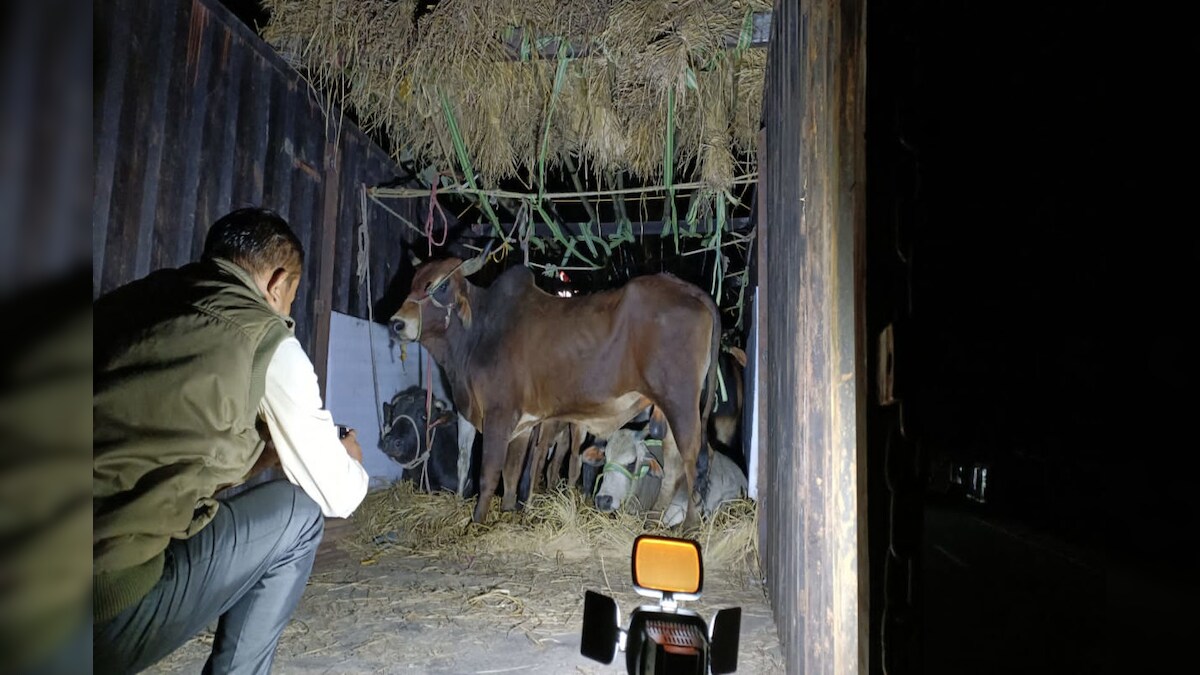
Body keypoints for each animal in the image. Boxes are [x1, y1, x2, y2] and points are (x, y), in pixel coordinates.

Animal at [388, 252, 721, 527]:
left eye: (441, 285)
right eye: (413, 282)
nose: (397, 324)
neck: (478, 335)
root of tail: (689, 290)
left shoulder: (499, 414)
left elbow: (488, 473)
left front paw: (478, 522)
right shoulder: (521, 425)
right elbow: (510, 474)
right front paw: (509, 514)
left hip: (680, 404)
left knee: (691, 458)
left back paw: (690, 525)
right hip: (666, 410)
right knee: (673, 462)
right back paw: (655, 520)